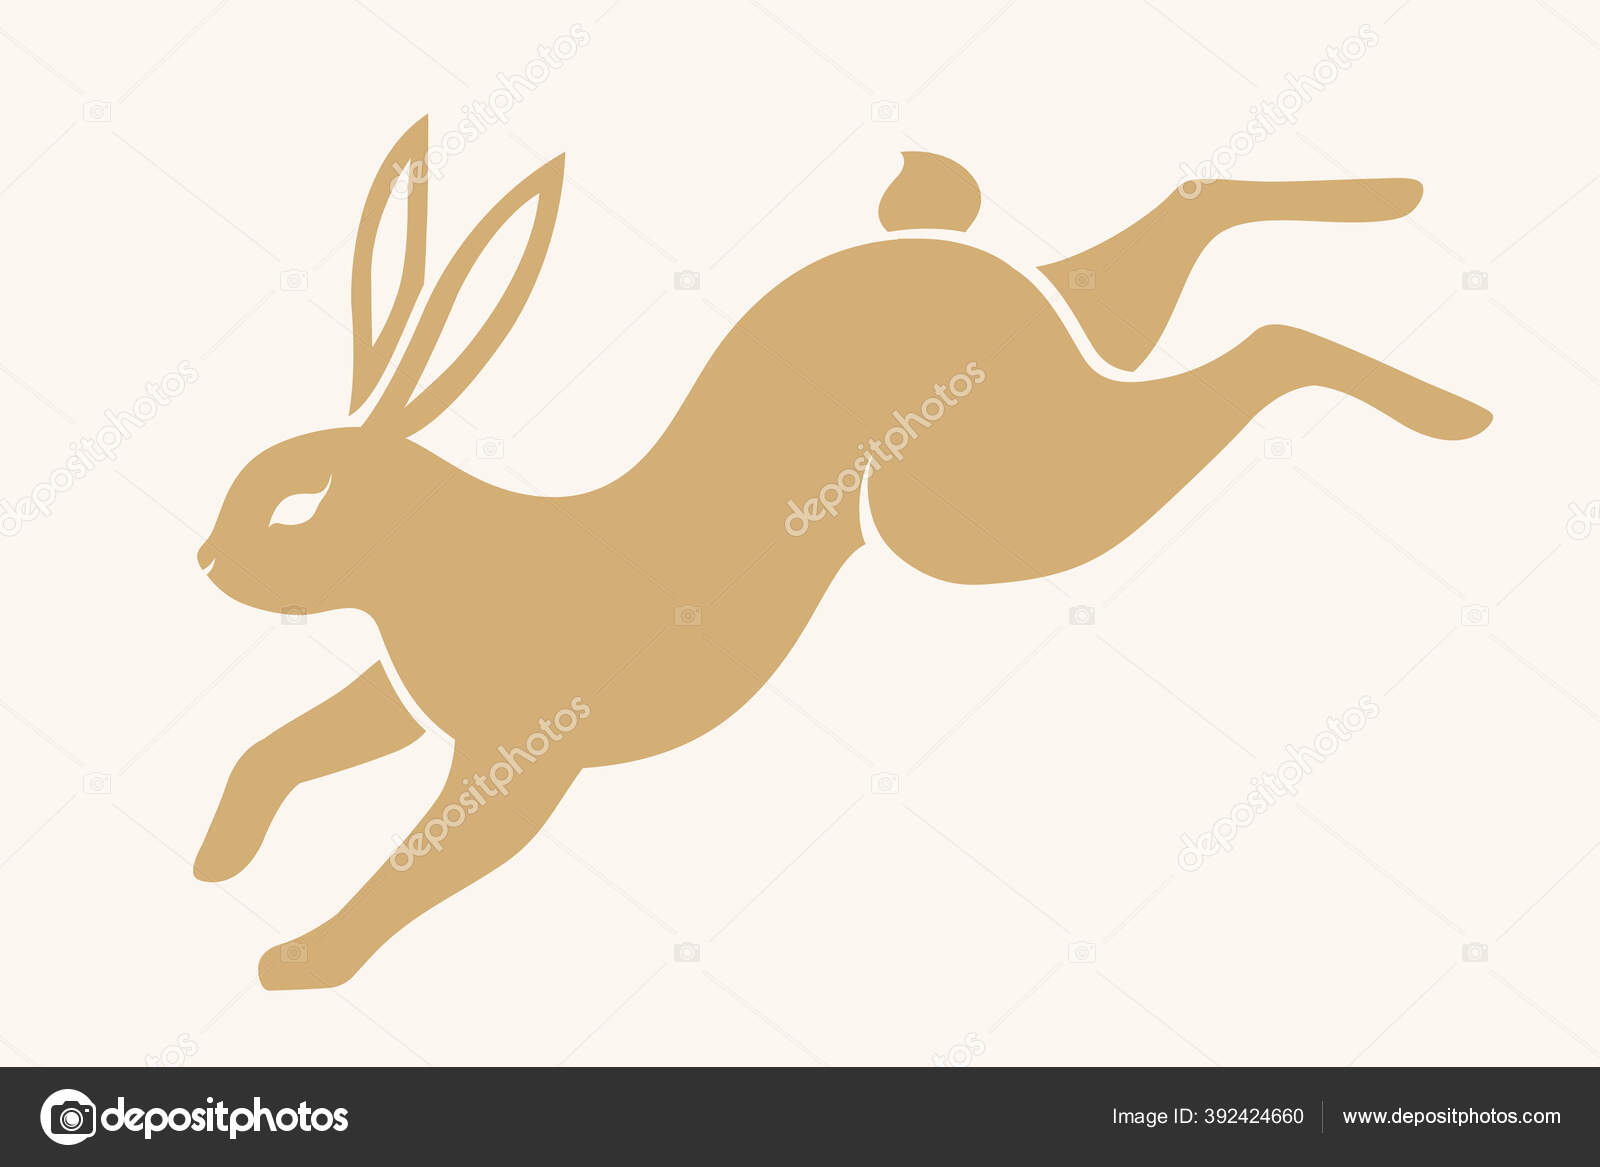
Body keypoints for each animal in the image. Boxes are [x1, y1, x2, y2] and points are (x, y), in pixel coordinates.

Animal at [194, 119, 1491, 988]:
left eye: (298, 502)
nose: (203, 562)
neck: (442, 552)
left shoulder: (518, 759)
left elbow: (421, 856)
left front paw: (299, 961)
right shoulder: (409, 703)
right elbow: (279, 747)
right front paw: (214, 864)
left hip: (985, 509)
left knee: (1261, 343)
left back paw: (1450, 412)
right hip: (1060, 386)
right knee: (1170, 231)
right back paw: (1401, 198)